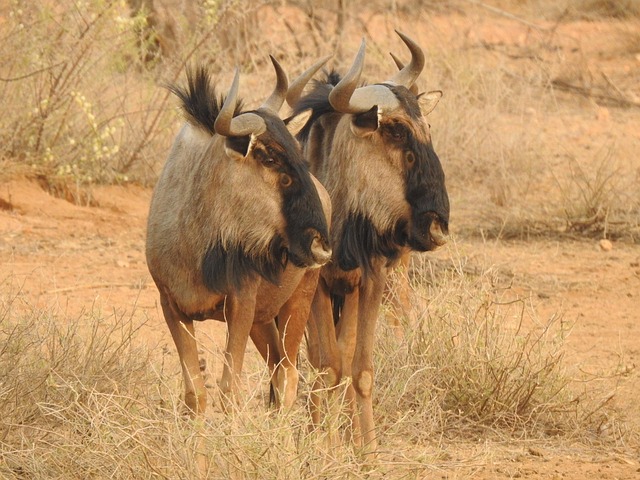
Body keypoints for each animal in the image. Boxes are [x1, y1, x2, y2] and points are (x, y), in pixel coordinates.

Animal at [146, 56, 332, 415]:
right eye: (269, 157)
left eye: (299, 154)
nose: (320, 246)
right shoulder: (172, 307)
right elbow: (195, 394)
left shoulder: (240, 305)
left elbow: (228, 391)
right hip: (264, 320)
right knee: (277, 368)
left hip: (298, 301)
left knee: (288, 372)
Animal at [288, 31, 450, 453]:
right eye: (395, 129)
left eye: (427, 125)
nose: (437, 228)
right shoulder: (317, 287)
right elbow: (326, 365)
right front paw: (323, 447)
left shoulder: (370, 281)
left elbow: (359, 368)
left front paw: (367, 451)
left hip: (386, 283)